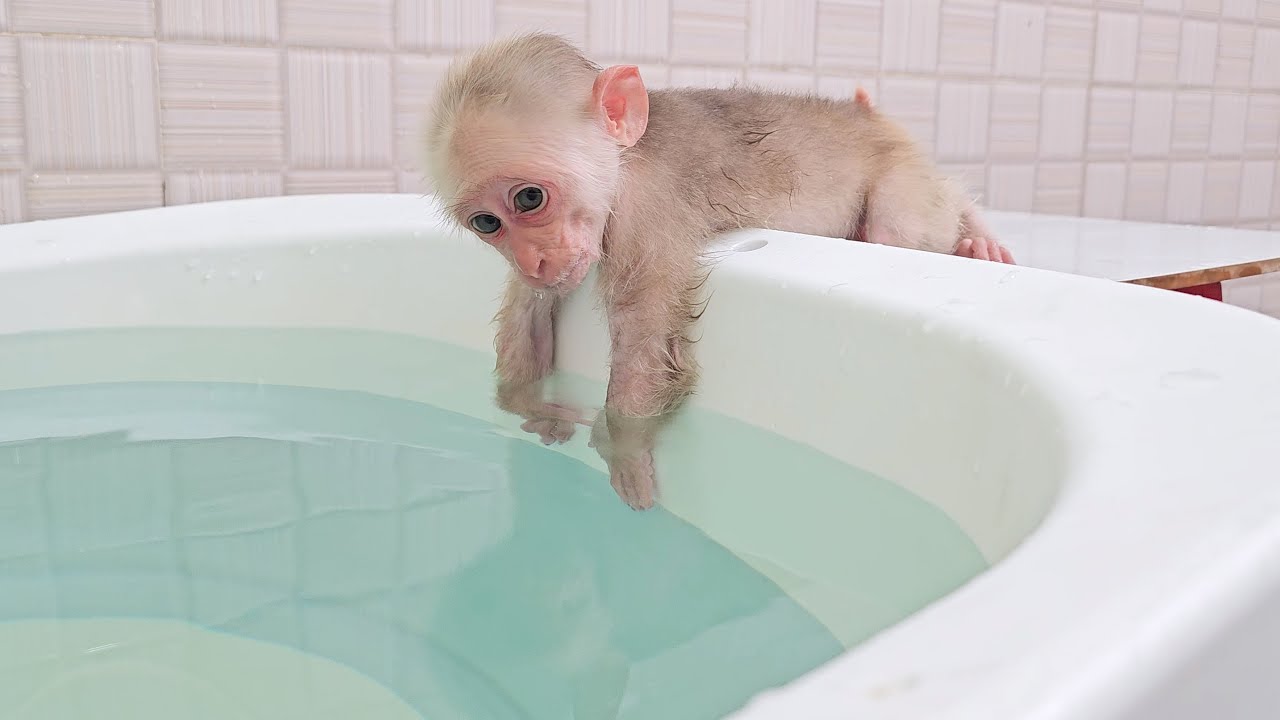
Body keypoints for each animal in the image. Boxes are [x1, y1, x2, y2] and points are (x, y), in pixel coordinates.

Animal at [424, 33, 1015, 511]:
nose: (533, 260)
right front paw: (533, 409)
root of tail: (869, 116)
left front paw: (624, 447)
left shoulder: (647, 207)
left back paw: (974, 239)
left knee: (902, 226)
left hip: (903, 172)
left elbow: (644, 334)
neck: (627, 161)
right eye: (487, 223)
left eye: (529, 198)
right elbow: (527, 322)